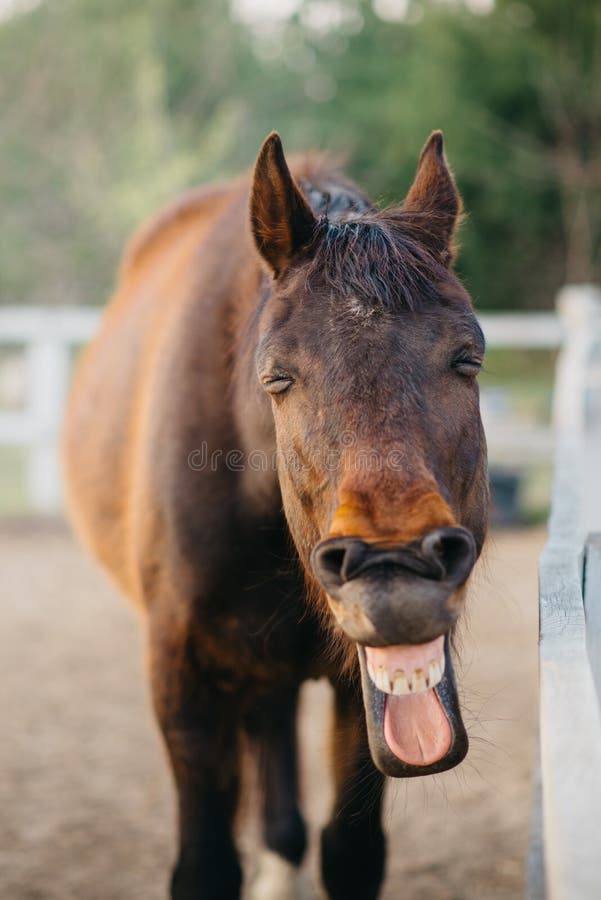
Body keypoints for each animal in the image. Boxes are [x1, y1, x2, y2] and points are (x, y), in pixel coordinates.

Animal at [62, 130, 489, 900]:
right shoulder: (184, 677)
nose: (396, 579)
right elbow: (206, 867)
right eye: (277, 377)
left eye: (468, 358)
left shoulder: (353, 693)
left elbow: (350, 853)